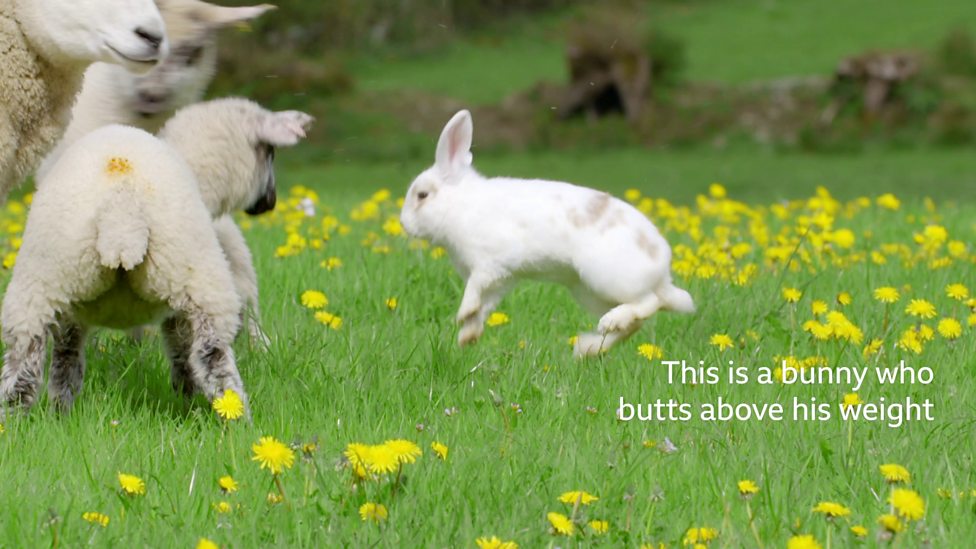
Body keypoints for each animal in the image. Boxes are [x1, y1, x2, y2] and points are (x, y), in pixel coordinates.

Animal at [399, 110, 694, 357]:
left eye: (422, 195)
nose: (403, 223)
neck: (459, 205)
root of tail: (662, 270)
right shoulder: (501, 279)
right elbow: (484, 307)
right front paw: (467, 336)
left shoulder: (489, 265)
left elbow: (474, 291)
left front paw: (462, 315)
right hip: (588, 291)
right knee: (637, 322)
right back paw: (588, 348)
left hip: (608, 278)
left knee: (648, 302)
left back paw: (608, 324)